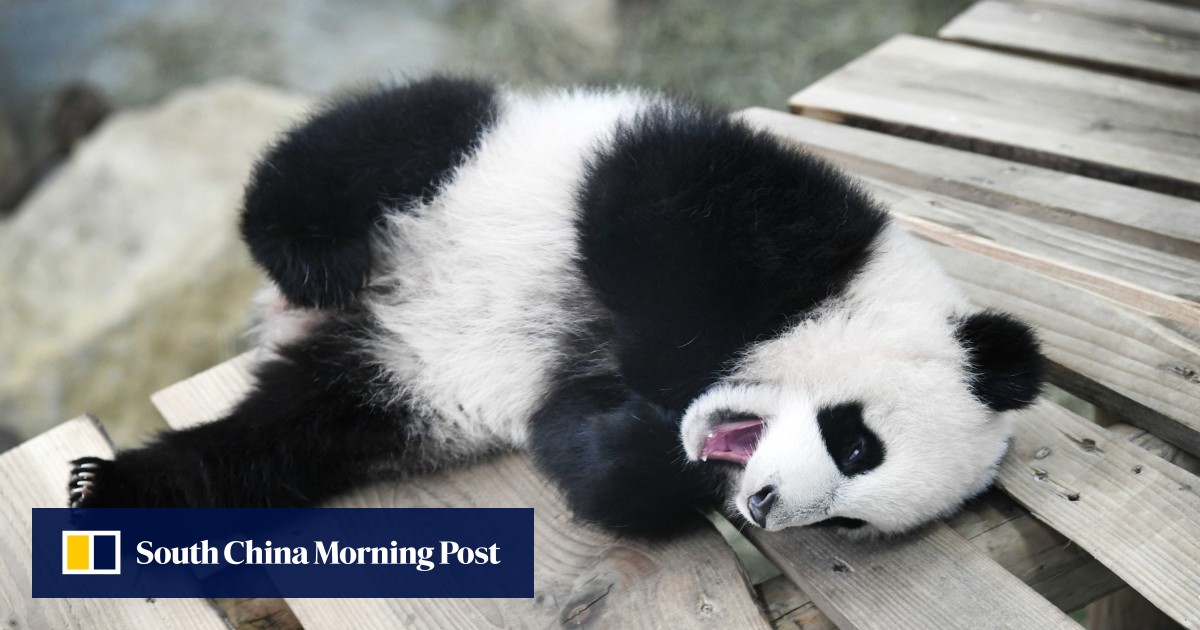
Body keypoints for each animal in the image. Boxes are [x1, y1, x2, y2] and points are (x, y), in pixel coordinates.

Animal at [68, 76, 1044, 537]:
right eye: (856, 441)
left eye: (848, 517)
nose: (766, 508)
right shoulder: (786, 219)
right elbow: (657, 218)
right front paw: (666, 363)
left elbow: (598, 463)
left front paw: (625, 441)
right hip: (469, 156)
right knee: (368, 144)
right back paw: (312, 254)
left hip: (387, 389)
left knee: (281, 437)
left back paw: (116, 487)